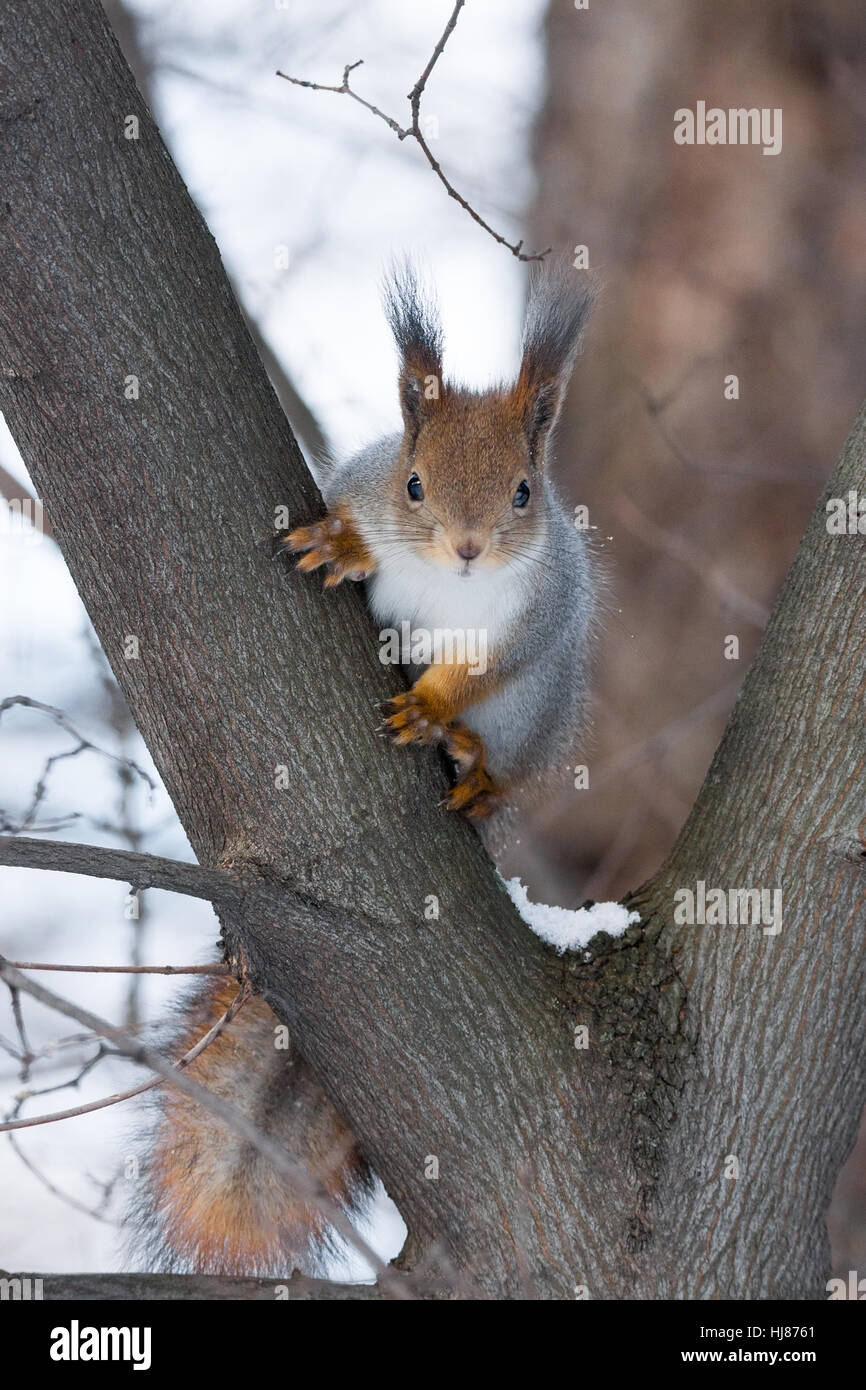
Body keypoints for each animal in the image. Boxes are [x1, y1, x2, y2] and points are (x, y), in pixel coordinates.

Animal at [135, 262, 595, 1277]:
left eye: (523, 493)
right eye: (412, 483)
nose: (467, 548)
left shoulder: (532, 621)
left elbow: (479, 670)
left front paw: (430, 709)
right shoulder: (367, 492)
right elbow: (351, 528)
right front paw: (340, 545)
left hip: (538, 717)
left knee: (503, 758)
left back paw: (473, 768)